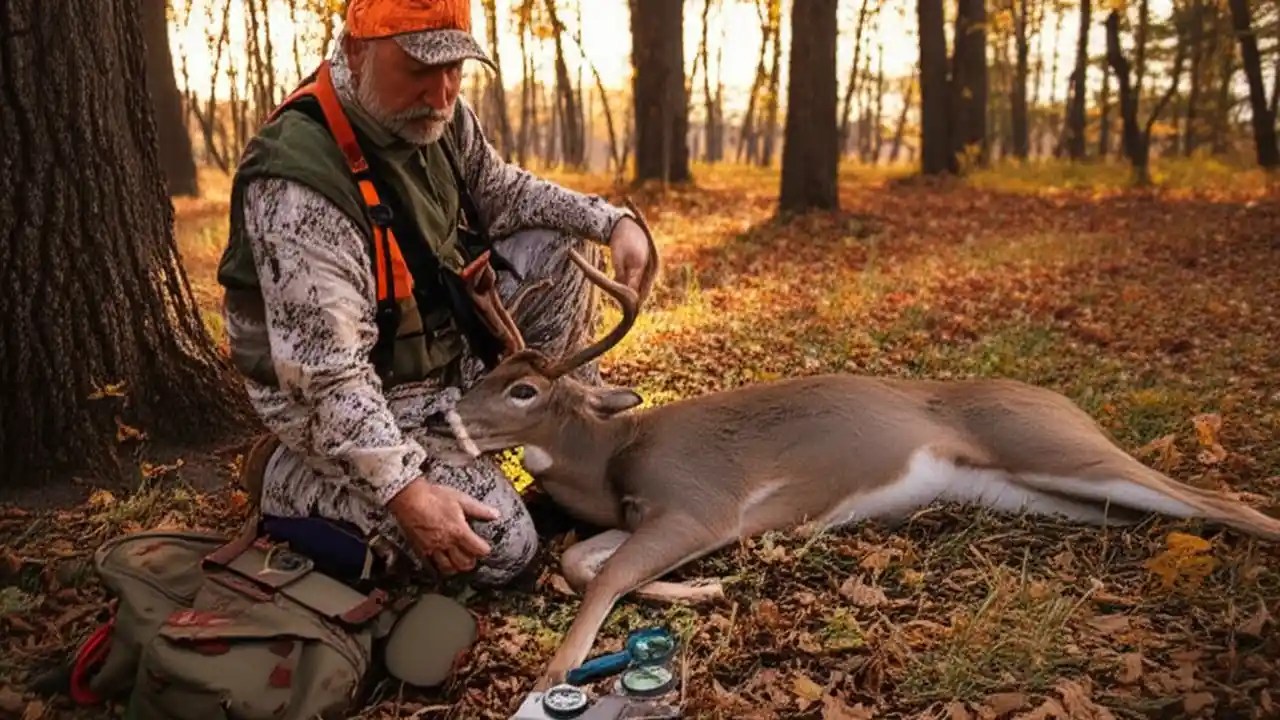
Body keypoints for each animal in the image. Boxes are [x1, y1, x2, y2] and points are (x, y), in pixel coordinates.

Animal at [424, 206, 1280, 692]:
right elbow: (579, 561)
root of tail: (1066, 401)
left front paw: (558, 670)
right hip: (1050, 493)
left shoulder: (701, 503)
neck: (608, 461)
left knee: (1223, 496)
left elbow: (602, 578)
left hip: (1055, 445)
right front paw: (703, 590)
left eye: (523, 391)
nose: (437, 417)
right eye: (486, 371)